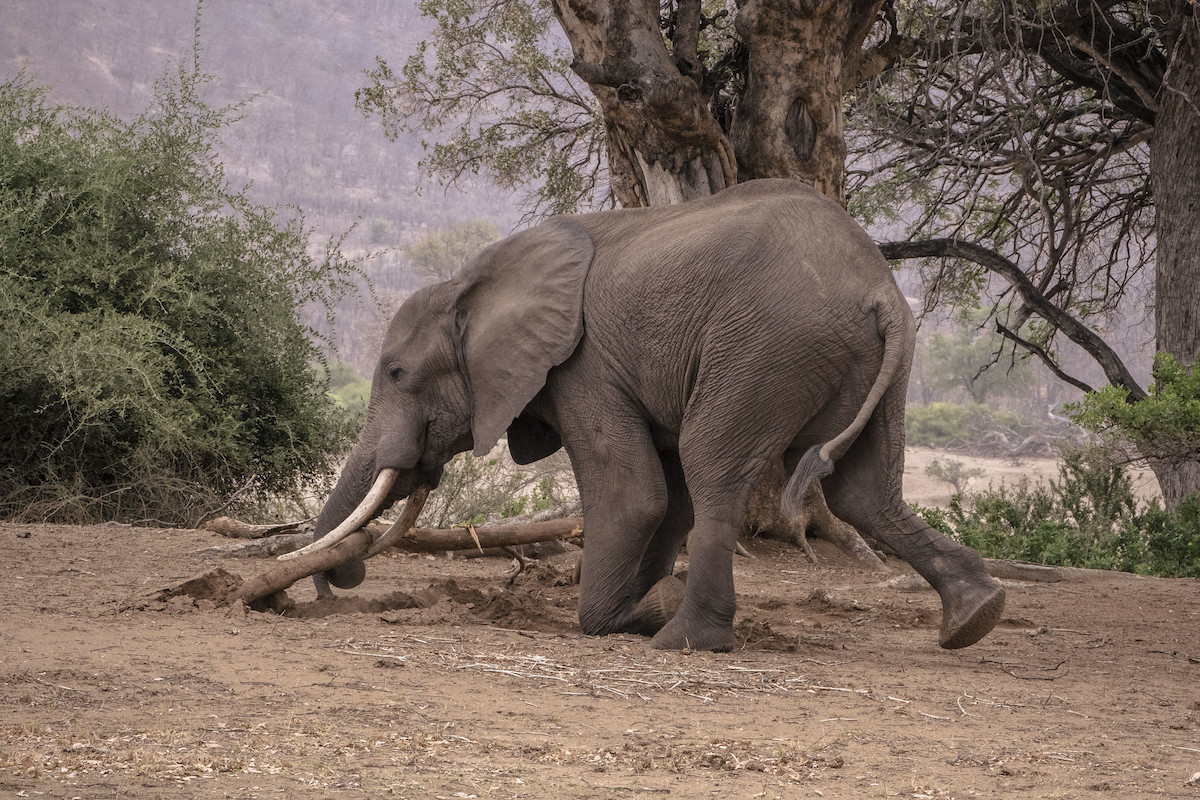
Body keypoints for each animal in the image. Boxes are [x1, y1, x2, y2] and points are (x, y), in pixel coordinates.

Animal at [302, 178, 1005, 652]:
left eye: (397, 374)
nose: (337, 583)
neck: (475, 283)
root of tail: (879, 288)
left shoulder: (582, 366)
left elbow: (635, 491)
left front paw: (627, 615)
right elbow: (665, 498)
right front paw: (643, 601)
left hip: (764, 349)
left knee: (713, 466)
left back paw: (686, 639)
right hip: (872, 363)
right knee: (865, 493)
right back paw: (975, 618)